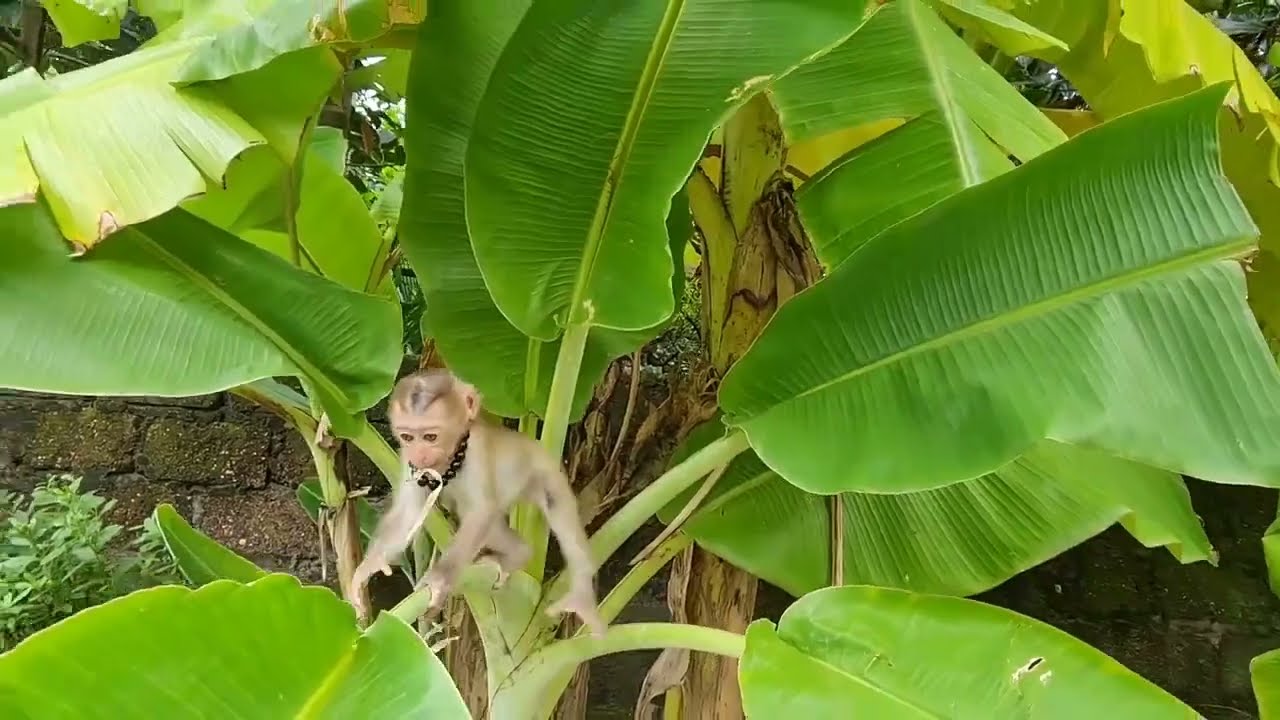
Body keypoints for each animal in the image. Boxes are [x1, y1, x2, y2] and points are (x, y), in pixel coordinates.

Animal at [346, 368, 606, 636]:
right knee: (485, 522)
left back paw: (580, 594)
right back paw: (519, 552)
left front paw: (439, 580)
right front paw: (370, 564)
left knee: (554, 509)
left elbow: (481, 511)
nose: (420, 453)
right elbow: (409, 512)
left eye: (430, 436)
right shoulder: (408, 461)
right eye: (407, 437)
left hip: (546, 472)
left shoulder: (476, 450)